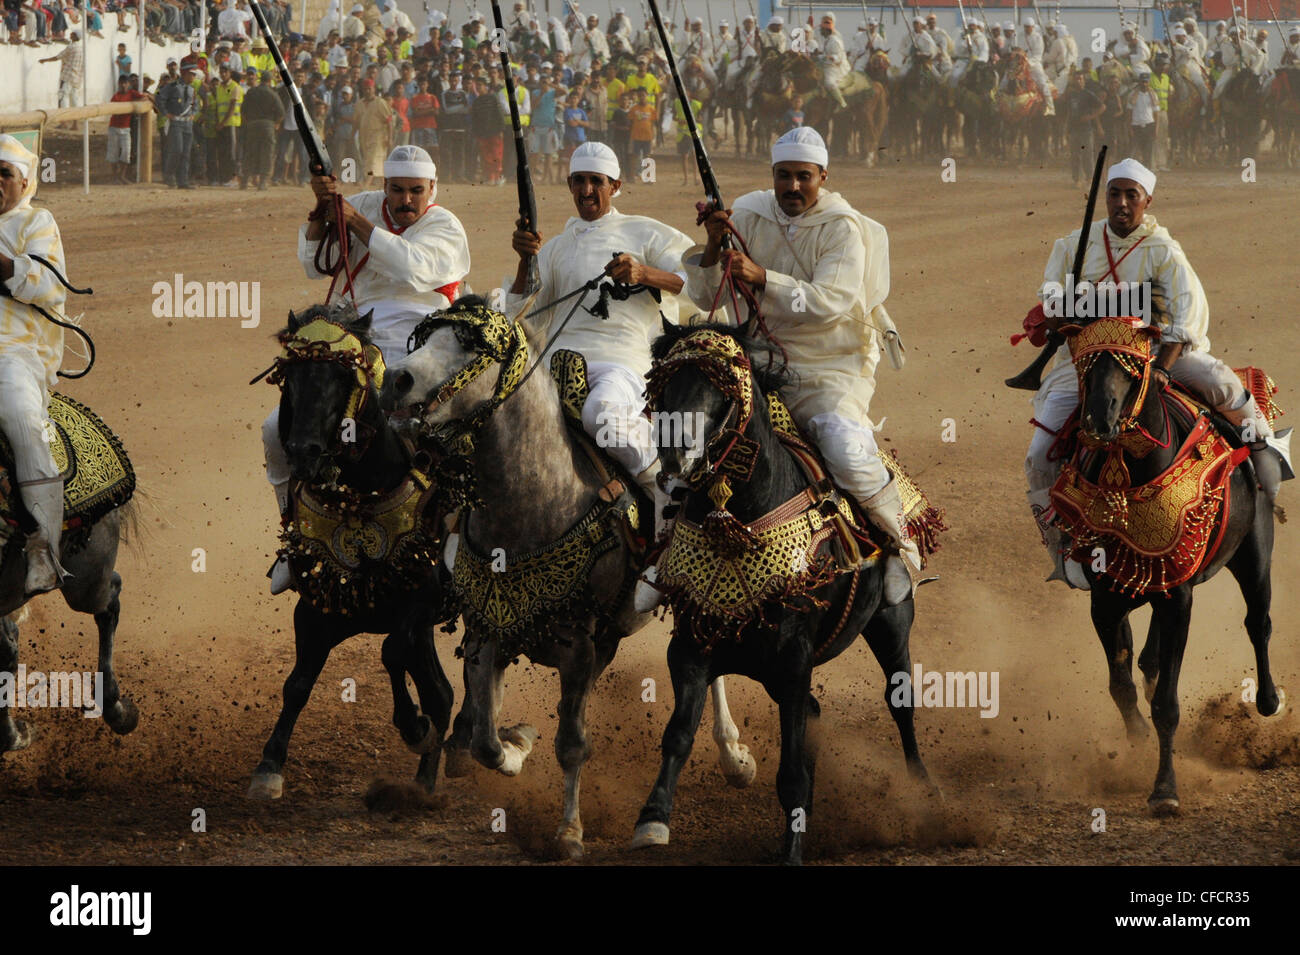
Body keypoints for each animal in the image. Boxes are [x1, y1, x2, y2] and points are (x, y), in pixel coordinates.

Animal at [245, 304, 454, 800]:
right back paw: (422, 783)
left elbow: (392, 653)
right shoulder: (314, 611)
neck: (358, 501)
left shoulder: (422, 600)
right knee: (441, 693)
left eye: (343, 378)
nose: (304, 451)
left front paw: (412, 727)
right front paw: (269, 766)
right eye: (290, 378)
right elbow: (297, 684)